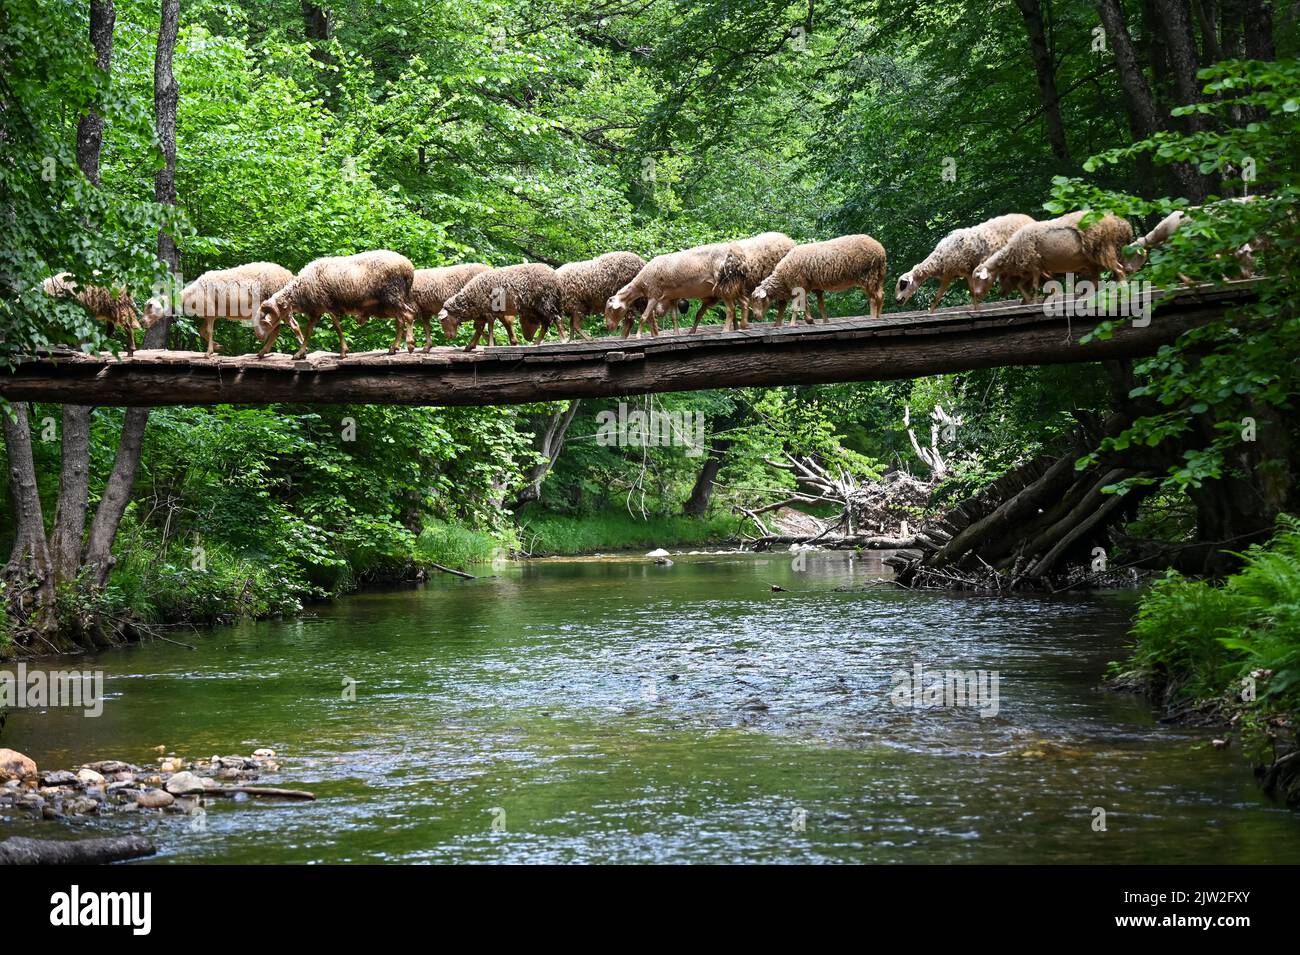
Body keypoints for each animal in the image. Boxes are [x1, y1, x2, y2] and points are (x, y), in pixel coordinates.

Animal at [142, 262, 294, 358]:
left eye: (150, 305)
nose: (142, 322)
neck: (189, 295)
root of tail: (289, 275)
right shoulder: (210, 314)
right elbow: (202, 331)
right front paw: (218, 347)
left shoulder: (209, 310)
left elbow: (208, 331)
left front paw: (208, 353)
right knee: (277, 329)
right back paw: (264, 352)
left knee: (281, 327)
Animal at [251, 250, 417, 359]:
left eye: (265, 321)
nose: (259, 337)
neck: (301, 289)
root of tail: (408, 267)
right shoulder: (317, 310)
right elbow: (309, 331)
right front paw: (300, 353)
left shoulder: (328, 304)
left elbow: (337, 327)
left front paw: (343, 352)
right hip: (391, 301)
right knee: (400, 320)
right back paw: (393, 348)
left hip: (392, 295)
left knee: (408, 314)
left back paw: (410, 345)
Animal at [749, 234, 888, 325]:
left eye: (757, 299)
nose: (756, 316)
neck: (781, 278)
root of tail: (880, 250)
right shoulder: (813, 287)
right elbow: (820, 305)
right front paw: (824, 321)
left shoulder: (798, 285)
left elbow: (795, 307)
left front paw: (792, 324)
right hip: (879, 276)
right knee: (881, 295)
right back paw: (878, 316)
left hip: (868, 275)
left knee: (873, 298)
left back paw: (873, 318)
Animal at [895, 213, 1035, 311]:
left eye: (903, 284)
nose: (898, 300)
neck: (937, 262)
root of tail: (1030, 219)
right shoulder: (954, 275)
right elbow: (938, 298)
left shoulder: (959, 272)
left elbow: (969, 294)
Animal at [969, 211, 1134, 303]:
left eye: (978, 277)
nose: (976, 294)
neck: (1011, 251)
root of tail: (1117, 222)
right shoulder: (1034, 269)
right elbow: (1031, 285)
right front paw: (1033, 300)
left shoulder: (1034, 265)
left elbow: (1035, 286)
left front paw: (1035, 301)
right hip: (1092, 261)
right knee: (1096, 281)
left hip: (1103, 250)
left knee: (1119, 269)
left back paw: (1125, 291)